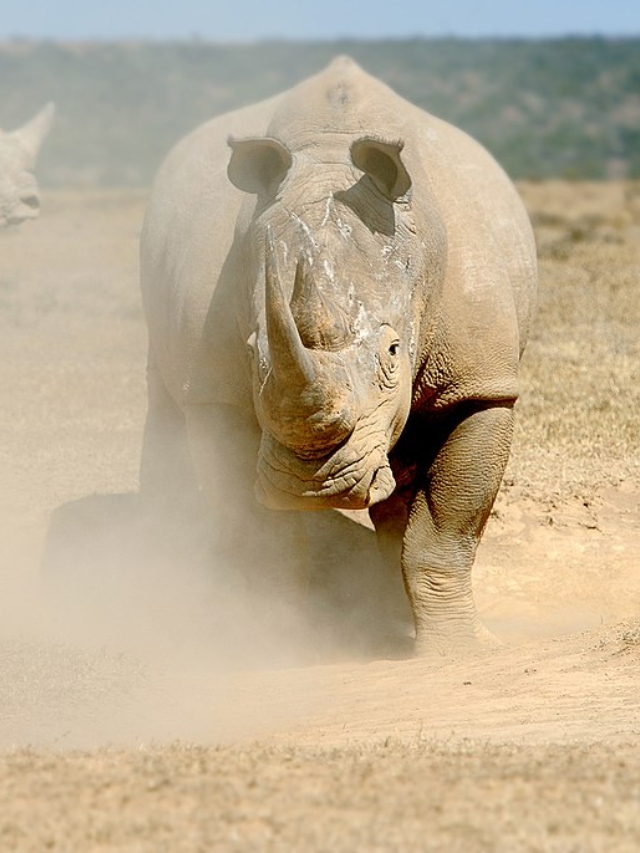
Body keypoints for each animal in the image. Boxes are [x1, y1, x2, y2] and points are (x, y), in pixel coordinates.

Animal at [140, 57, 537, 656]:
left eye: (394, 352)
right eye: (253, 350)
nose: (316, 485)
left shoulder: (481, 384)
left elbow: (446, 528)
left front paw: (459, 652)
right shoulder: (216, 392)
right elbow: (261, 533)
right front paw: (276, 640)